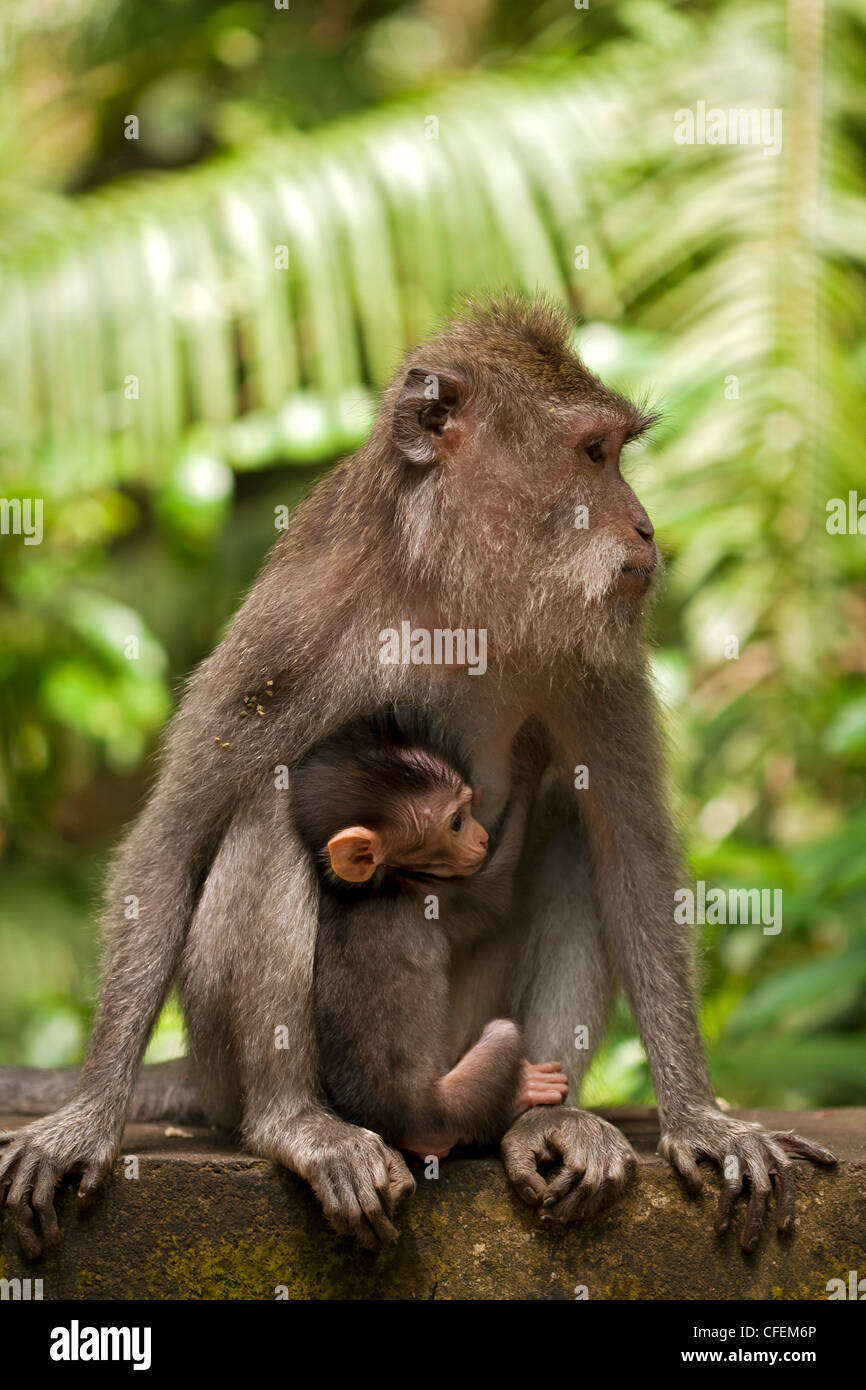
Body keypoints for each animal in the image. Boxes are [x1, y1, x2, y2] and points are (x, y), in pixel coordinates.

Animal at [292, 710, 568, 1159]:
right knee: (501, 1037)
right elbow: (498, 894)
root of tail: (407, 1127)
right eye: (456, 822)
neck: (379, 884)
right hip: (448, 1108)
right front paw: (529, 755)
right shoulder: (437, 896)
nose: (482, 837)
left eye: (469, 809)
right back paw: (522, 1093)